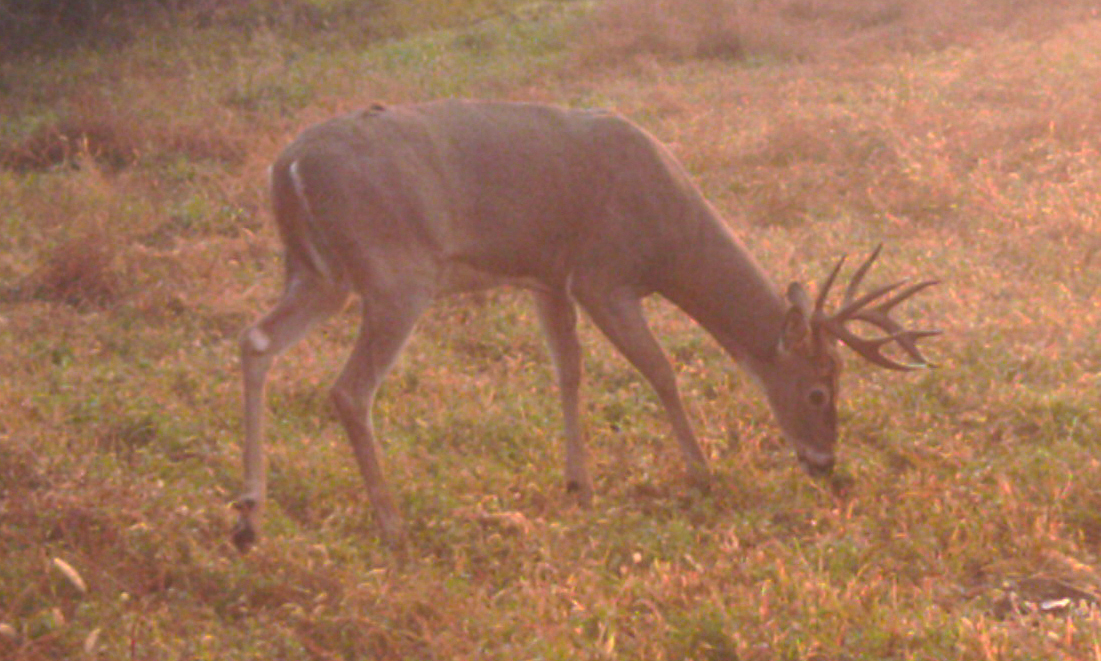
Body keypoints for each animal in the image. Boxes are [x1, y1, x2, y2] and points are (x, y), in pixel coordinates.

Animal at [232, 99, 938, 551]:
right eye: (820, 389)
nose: (824, 462)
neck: (672, 237)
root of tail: (287, 168)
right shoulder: (604, 275)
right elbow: (660, 370)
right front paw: (702, 471)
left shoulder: (550, 278)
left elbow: (568, 372)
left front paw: (579, 483)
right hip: (396, 276)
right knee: (349, 390)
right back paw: (392, 526)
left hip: (319, 274)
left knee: (255, 340)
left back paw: (248, 519)